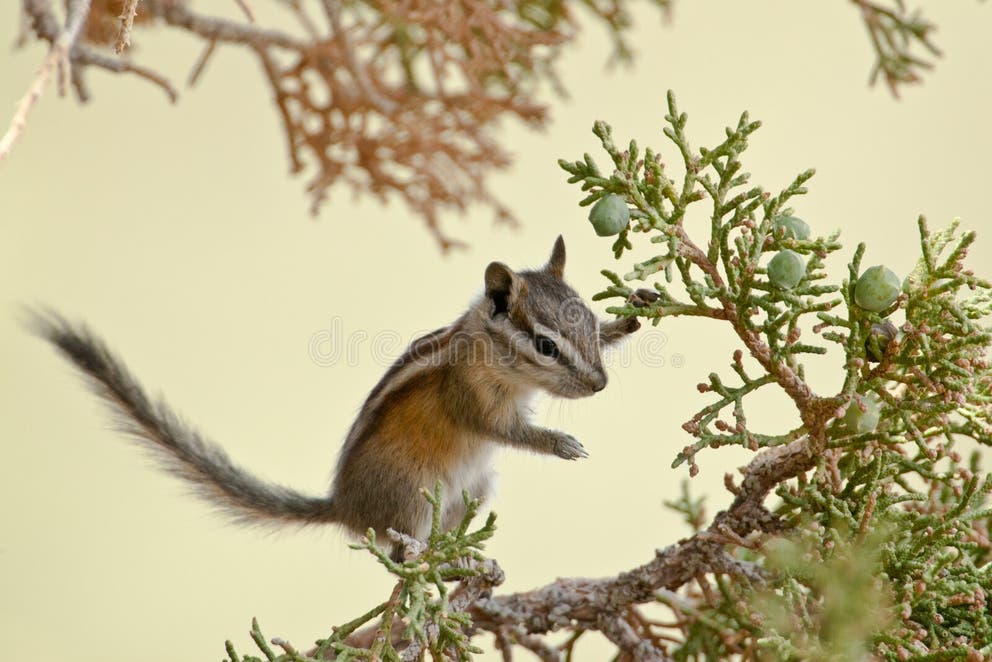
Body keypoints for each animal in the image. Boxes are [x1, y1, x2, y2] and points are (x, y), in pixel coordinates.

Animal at [31, 236, 639, 560]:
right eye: (545, 345)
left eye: (587, 320)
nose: (600, 384)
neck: (492, 351)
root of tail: (344, 505)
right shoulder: (473, 397)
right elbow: (507, 431)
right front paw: (560, 443)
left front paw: (629, 320)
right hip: (413, 495)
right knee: (397, 549)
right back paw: (421, 558)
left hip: (478, 487)